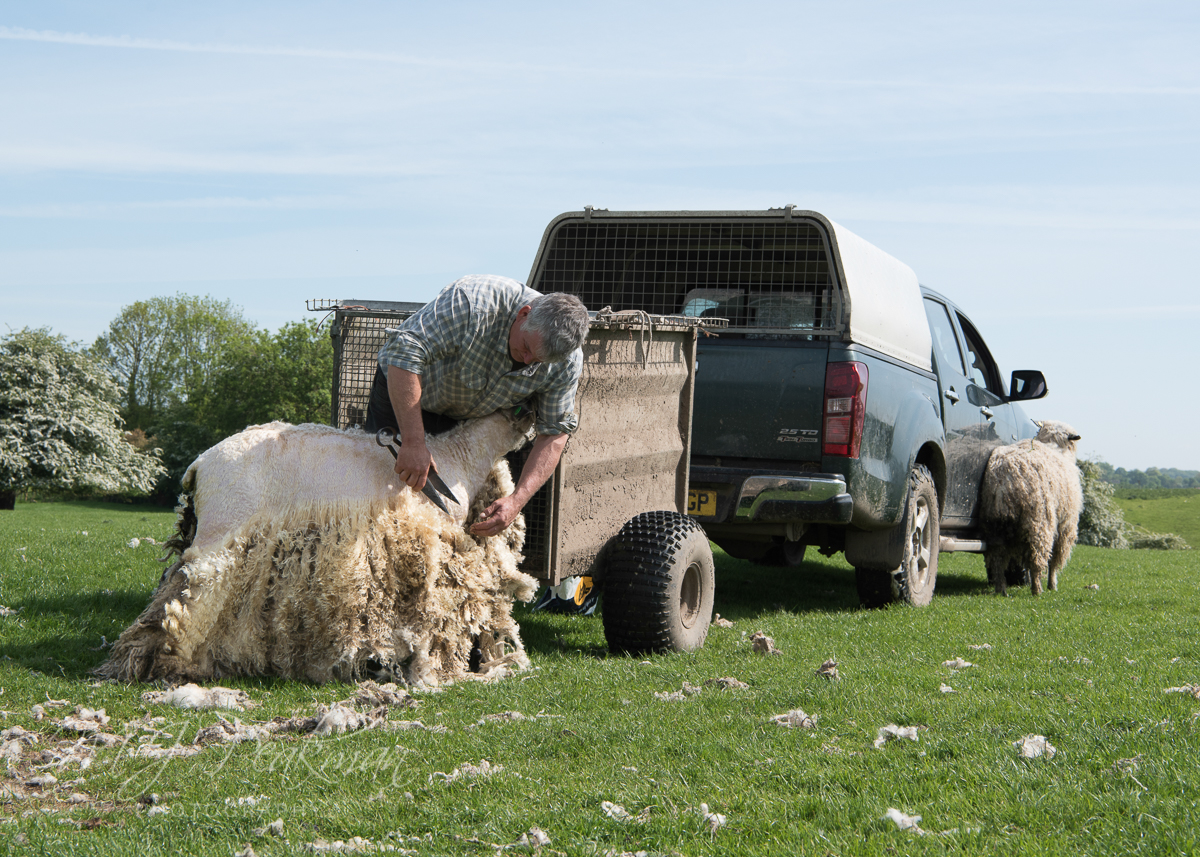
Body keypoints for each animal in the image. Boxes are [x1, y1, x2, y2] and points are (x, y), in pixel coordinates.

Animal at [981, 420, 1083, 595]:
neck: (1055, 446)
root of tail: (1003, 480)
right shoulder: (1065, 525)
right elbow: (1054, 560)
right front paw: (1052, 584)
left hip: (995, 524)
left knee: (997, 559)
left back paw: (1001, 589)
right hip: (1039, 520)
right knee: (1037, 557)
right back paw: (1037, 590)